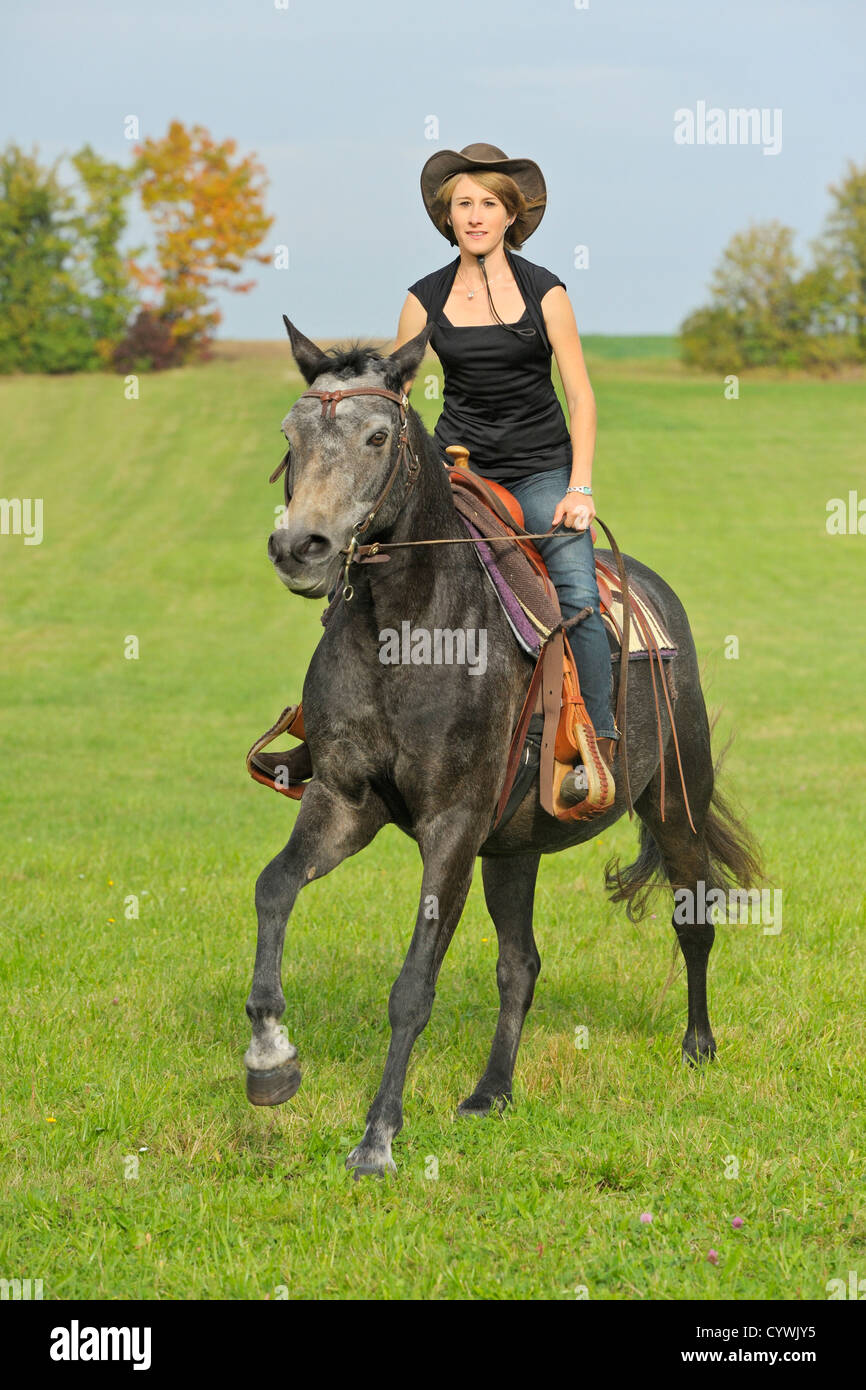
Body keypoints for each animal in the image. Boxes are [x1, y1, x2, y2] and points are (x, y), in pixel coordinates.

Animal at [243, 316, 762, 1178]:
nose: (301, 547)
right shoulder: (344, 803)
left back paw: (697, 1047)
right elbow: (274, 887)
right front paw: (270, 1059)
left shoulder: (451, 827)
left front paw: (377, 1138)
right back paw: (492, 1091)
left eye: (377, 437)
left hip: (674, 803)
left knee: (694, 918)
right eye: (290, 436)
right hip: (513, 849)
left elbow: (412, 987)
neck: (410, 629)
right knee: (520, 965)